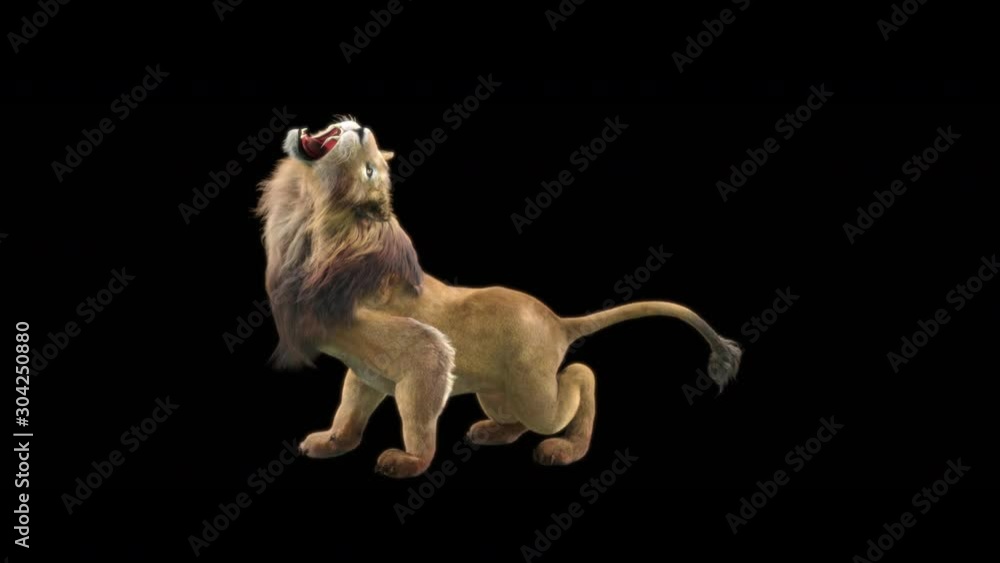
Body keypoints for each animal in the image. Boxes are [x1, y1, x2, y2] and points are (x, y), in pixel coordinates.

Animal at [256, 117, 743, 478]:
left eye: (372, 168)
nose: (360, 129)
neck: (308, 222)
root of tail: (555, 318)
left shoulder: (421, 351)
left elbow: (417, 416)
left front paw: (410, 461)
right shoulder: (367, 370)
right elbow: (349, 410)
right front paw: (333, 442)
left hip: (536, 393)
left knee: (579, 378)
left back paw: (565, 448)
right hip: (498, 392)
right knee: (518, 420)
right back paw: (491, 433)